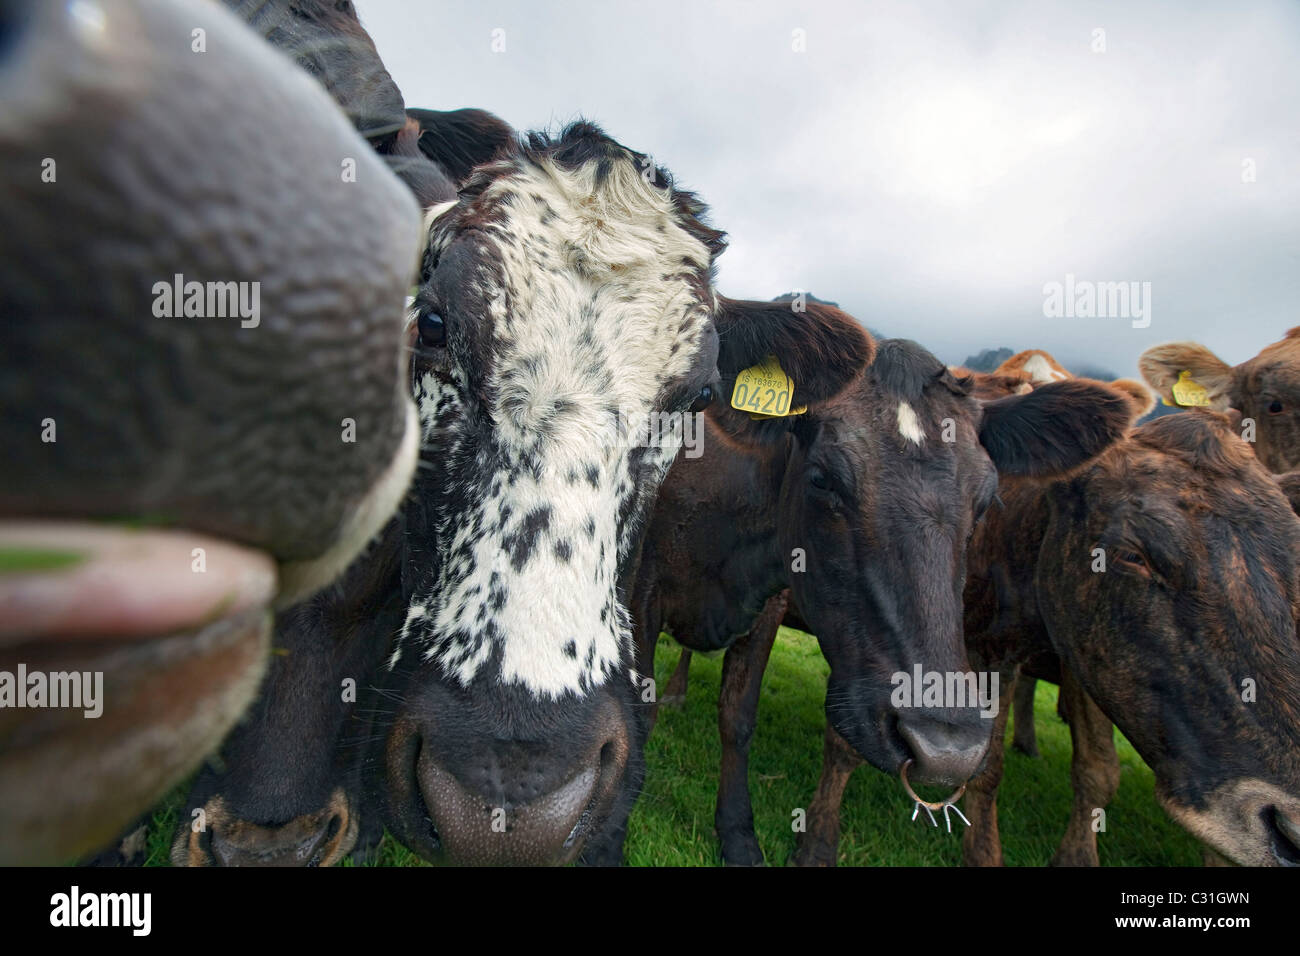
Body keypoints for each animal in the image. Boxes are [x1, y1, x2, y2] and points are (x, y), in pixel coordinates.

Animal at [633, 338, 1136, 865]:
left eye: (986, 502)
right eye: (822, 477)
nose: (945, 748)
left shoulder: (769, 603)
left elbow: (738, 717)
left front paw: (737, 834)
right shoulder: (642, 583)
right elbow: (639, 712)